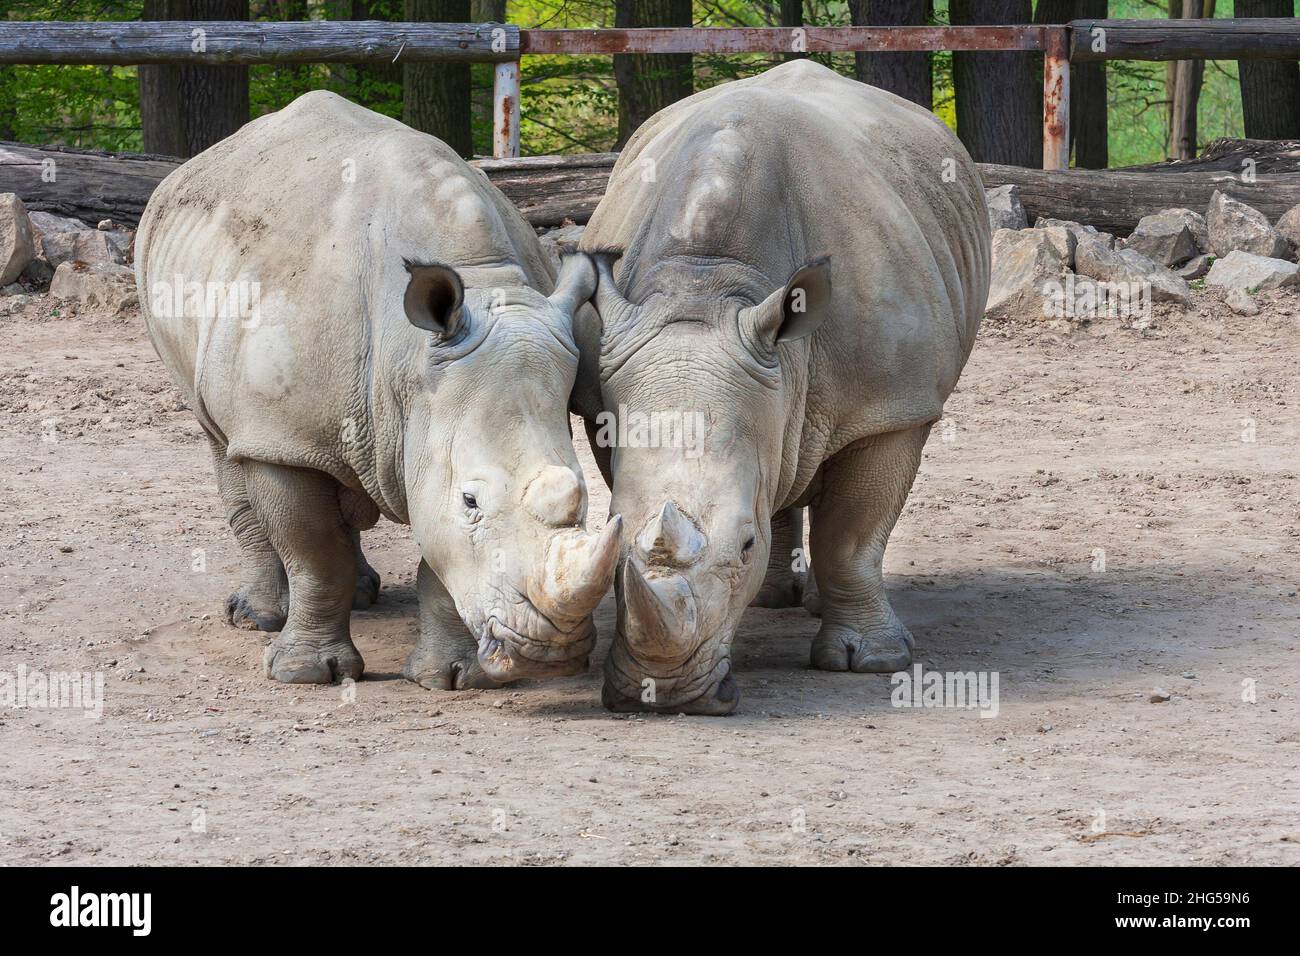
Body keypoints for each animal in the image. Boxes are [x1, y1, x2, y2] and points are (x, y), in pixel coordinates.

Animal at [137, 90, 620, 688]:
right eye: (471, 501)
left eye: (583, 499)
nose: (551, 653)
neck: (408, 363)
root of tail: (196, 163)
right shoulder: (283, 434)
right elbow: (315, 553)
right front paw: (308, 673)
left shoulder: (433, 423)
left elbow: (435, 555)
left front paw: (451, 677)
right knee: (222, 439)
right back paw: (257, 618)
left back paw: (363, 595)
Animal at [576, 60, 990, 714]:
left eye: (745, 545)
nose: (661, 695)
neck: (709, 287)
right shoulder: (609, 396)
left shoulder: (890, 408)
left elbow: (852, 535)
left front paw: (870, 662)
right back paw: (775, 601)